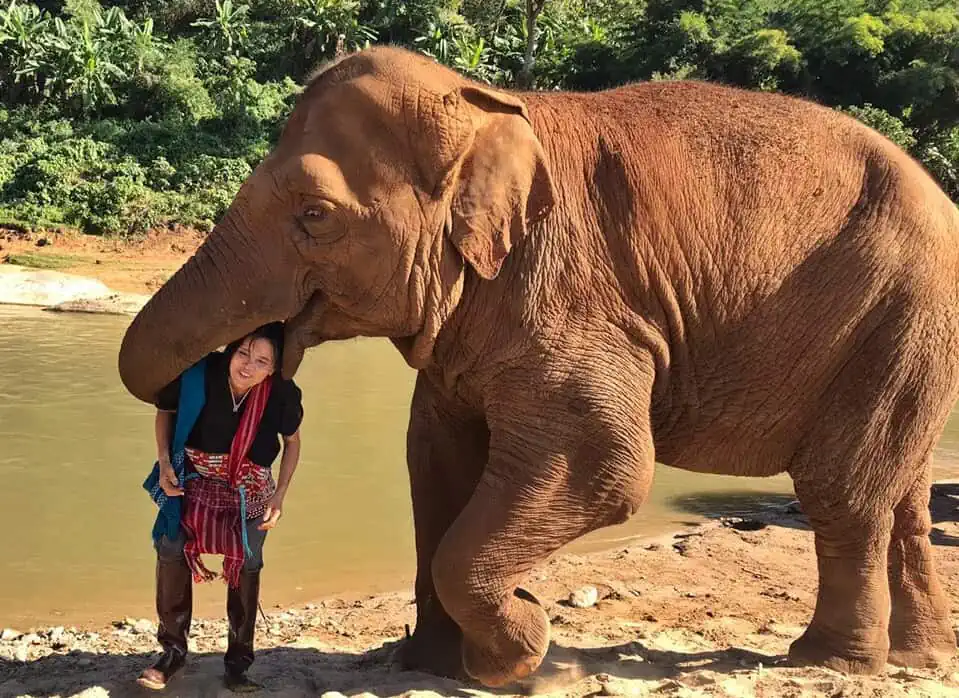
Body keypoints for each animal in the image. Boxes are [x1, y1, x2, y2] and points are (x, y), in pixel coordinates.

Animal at [118, 46, 959, 687]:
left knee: (842, 492)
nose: (252, 351)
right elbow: (434, 460)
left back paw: (829, 662)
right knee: (901, 497)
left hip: (898, 311)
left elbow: (599, 462)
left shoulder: (567, 294)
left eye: (314, 215)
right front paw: (427, 665)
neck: (492, 109)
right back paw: (914, 658)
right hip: (908, 336)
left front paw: (518, 659)